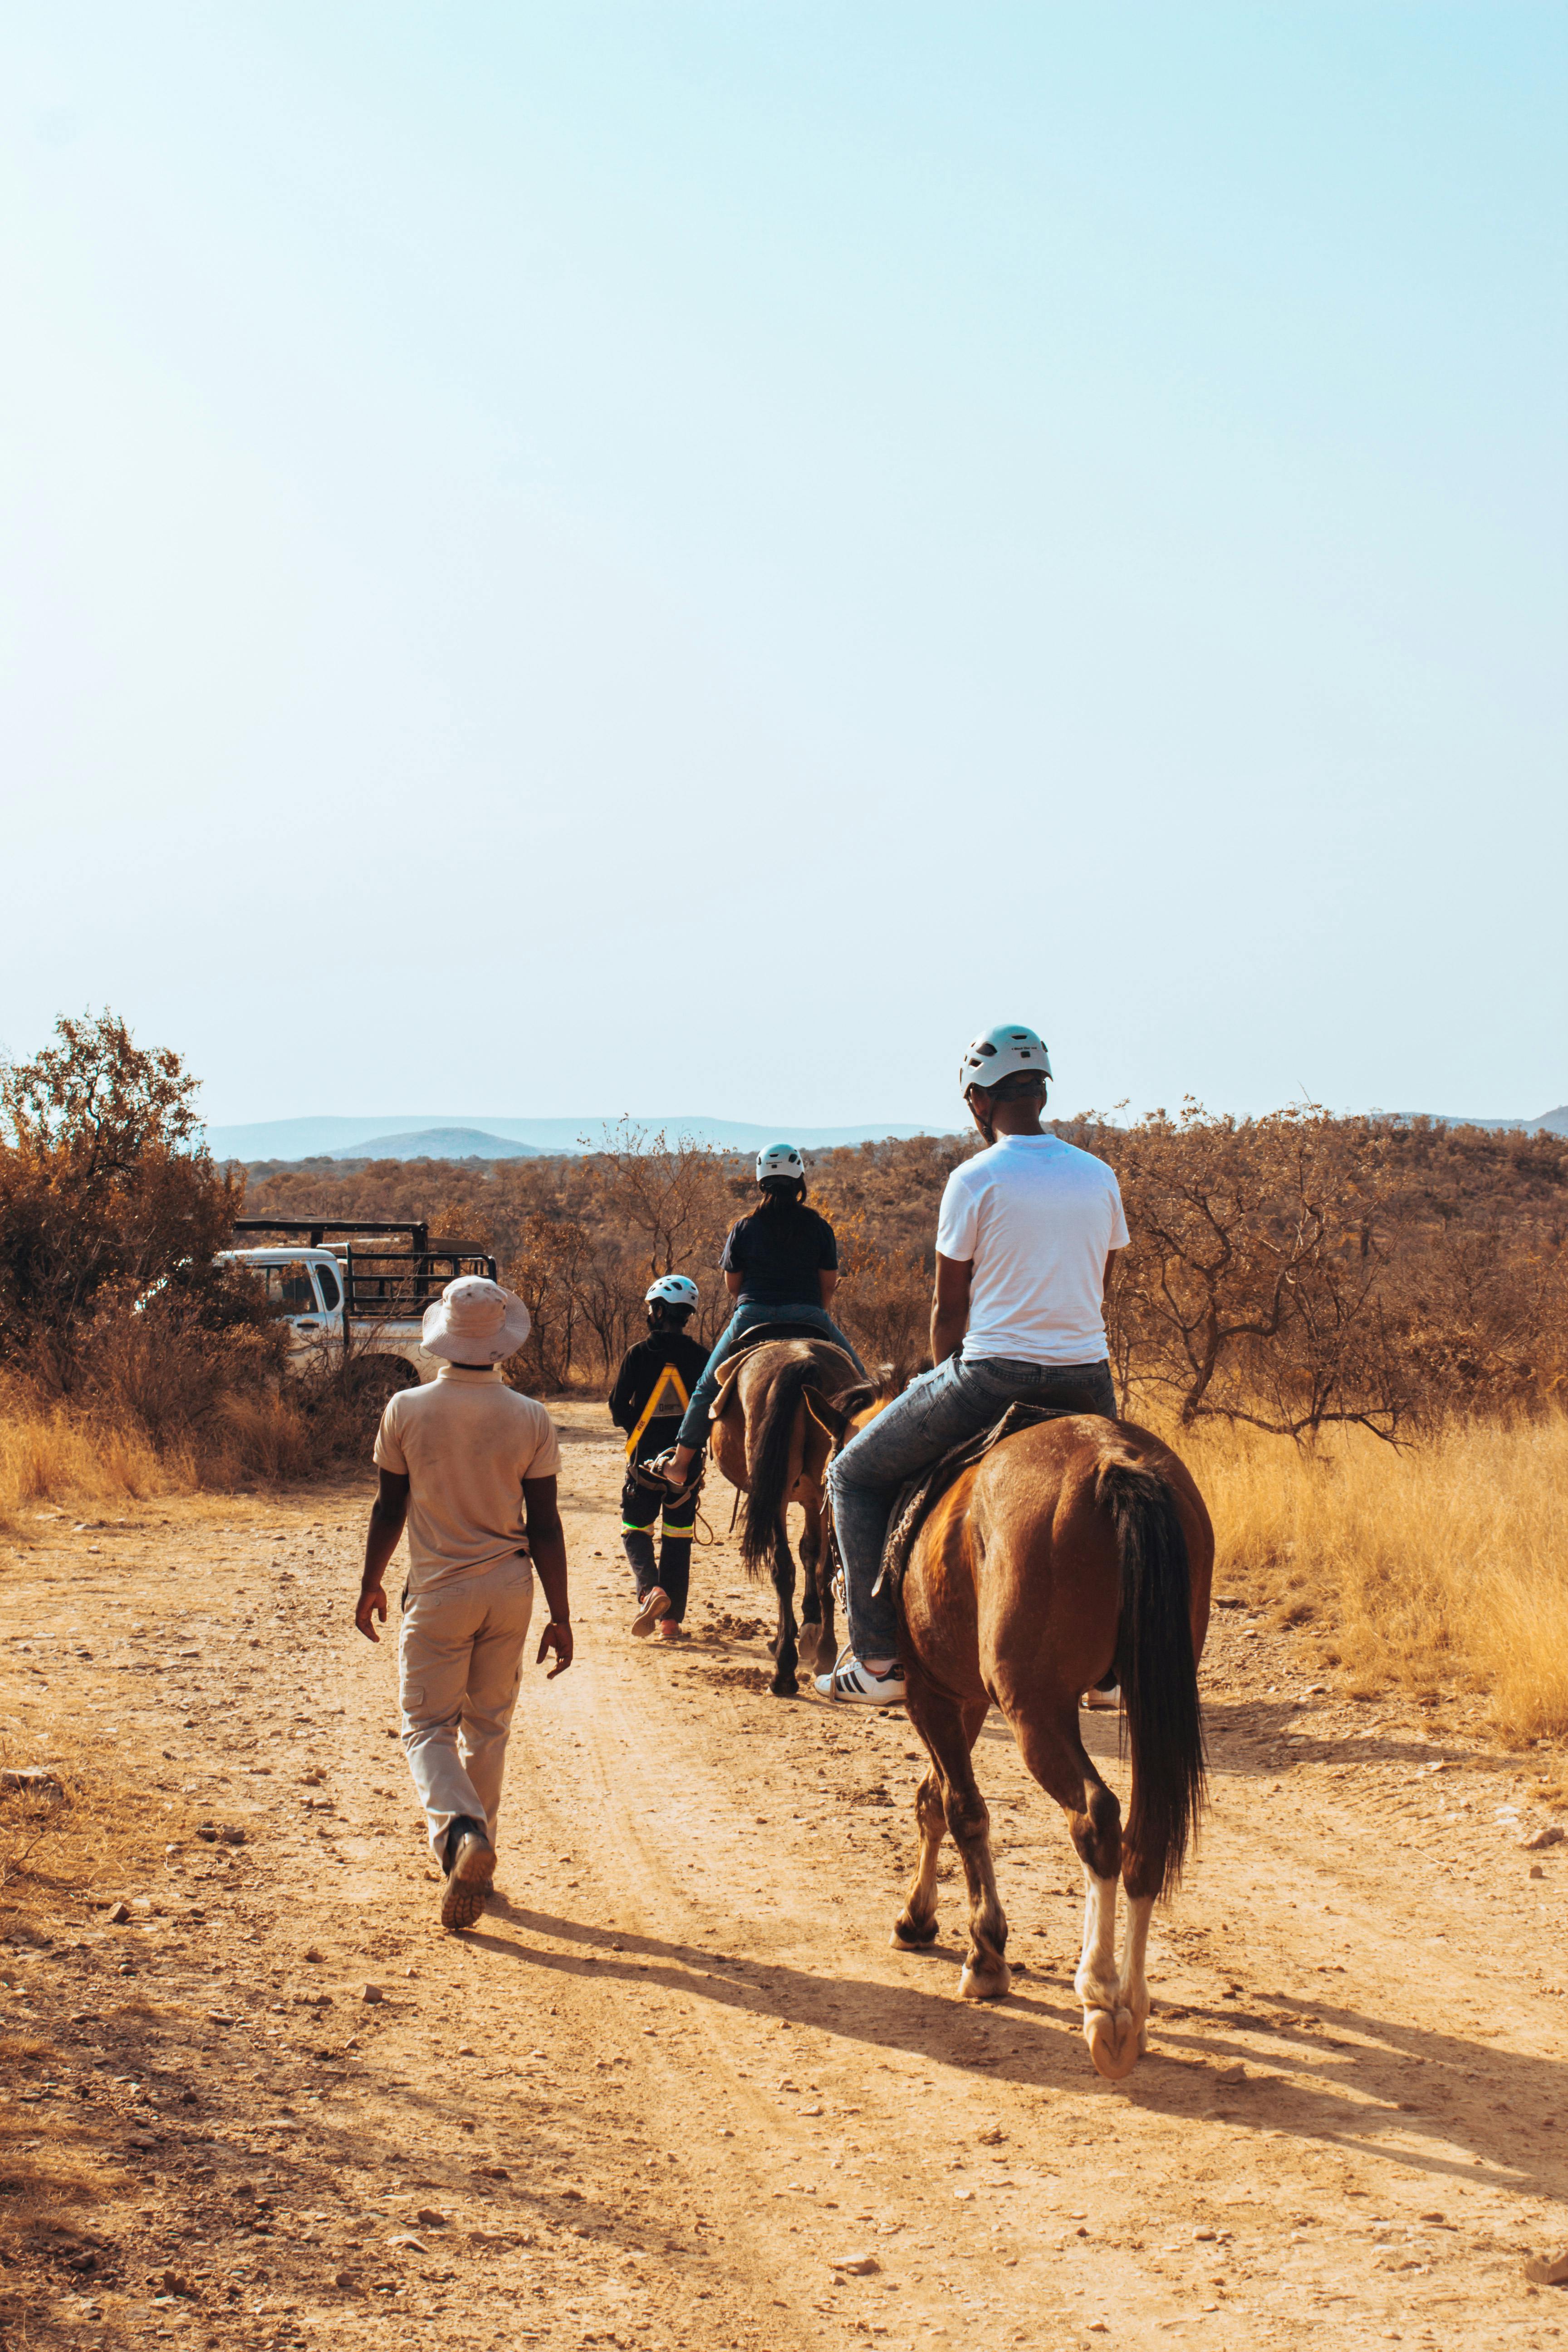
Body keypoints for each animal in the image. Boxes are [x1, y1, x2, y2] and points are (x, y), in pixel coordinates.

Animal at [706, 1335, 873, 1698]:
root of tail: (803, 1359)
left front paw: (795, 1633)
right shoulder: (814, 1497)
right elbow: (814, 1556)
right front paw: (810, 1630)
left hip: (778, 1491)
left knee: (782, 1567)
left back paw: (785, 1669)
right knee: (820, 1569)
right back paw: (818, 1655)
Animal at [807, 1392, 1212, 2081]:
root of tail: (1114, 1462)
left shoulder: (932, 1695)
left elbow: (960, 1809)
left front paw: (986, 1954)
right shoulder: (965, 1699)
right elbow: (930, 1802)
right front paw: (918, 1918)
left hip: (1034, 1708)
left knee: (1096, 1818)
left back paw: (1102, 1997)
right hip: (1143, 1698)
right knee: (1144, 1834)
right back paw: (1134, 2005)